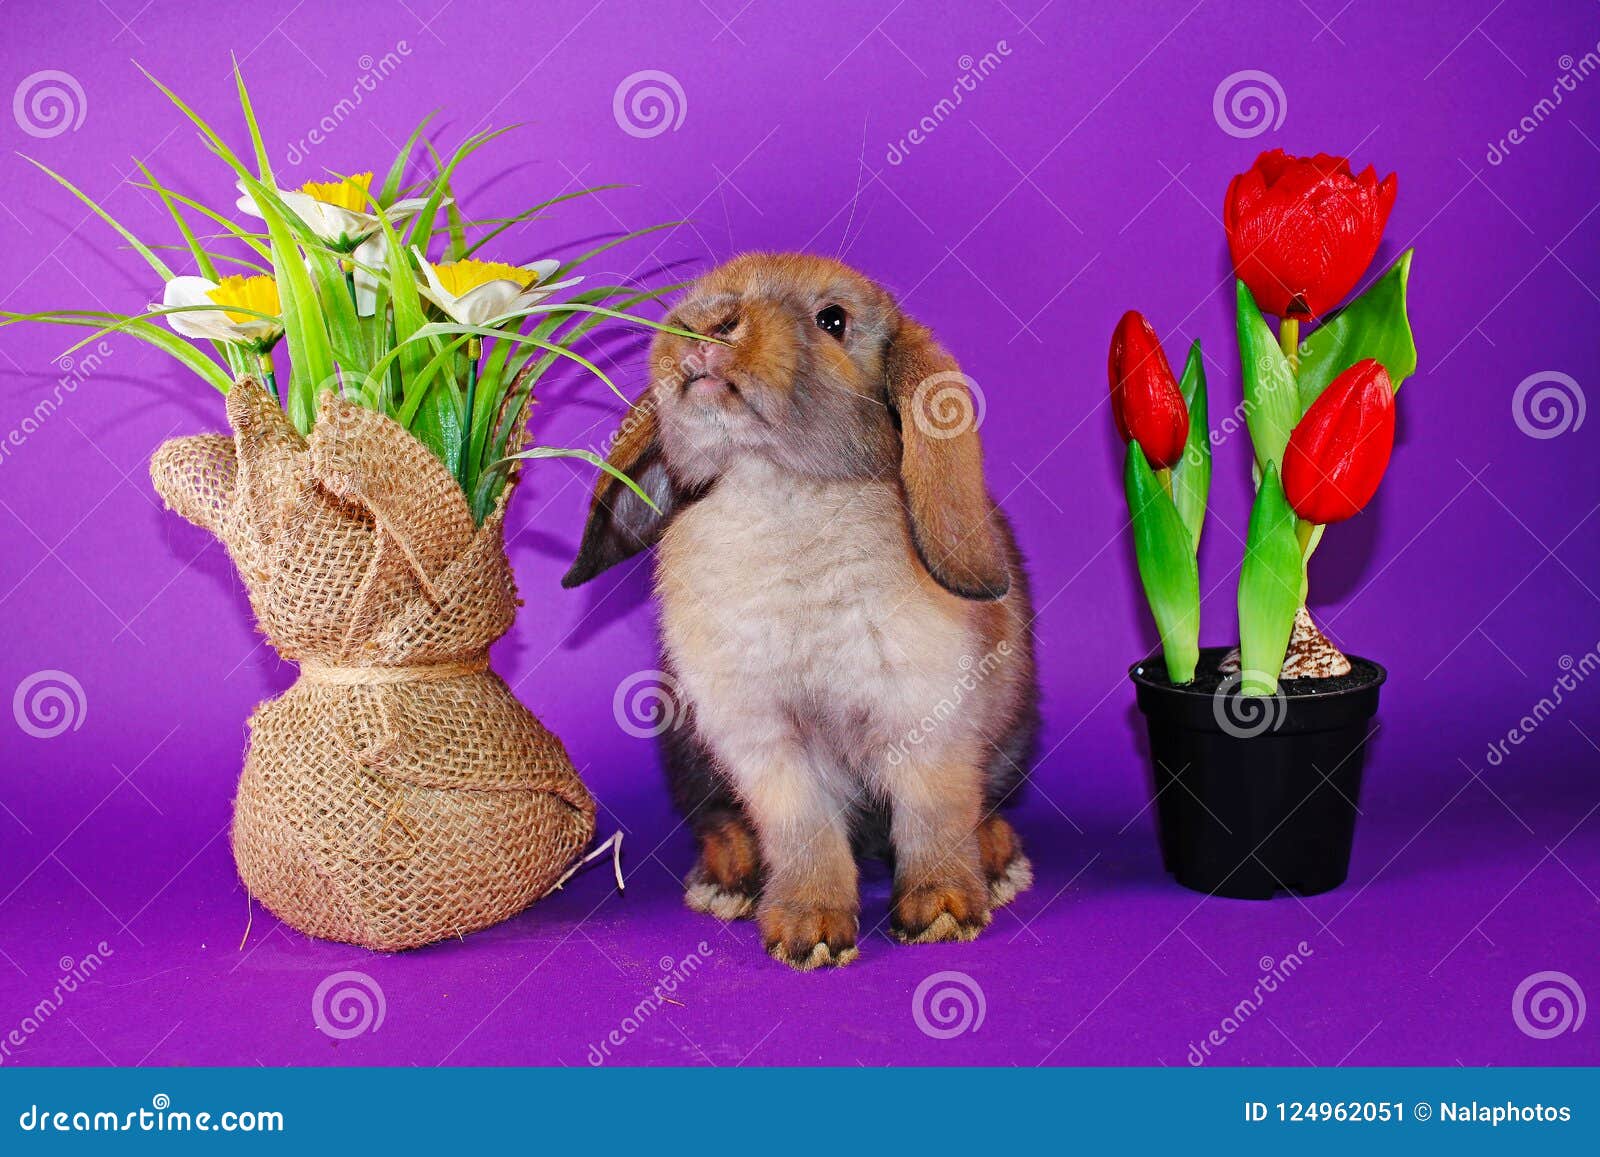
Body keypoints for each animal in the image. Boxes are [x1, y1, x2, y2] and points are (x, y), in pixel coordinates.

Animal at [564, 253, 1039, 970]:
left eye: (833, 320)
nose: (707, 323)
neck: (778, 487)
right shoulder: (764, 738)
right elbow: (802, 830)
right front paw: (808, 930)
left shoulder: (926, 720)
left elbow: (934, 816)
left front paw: (944, 911)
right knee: (719, 821)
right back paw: (727, 880)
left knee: (984, 808)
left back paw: (999, 861)